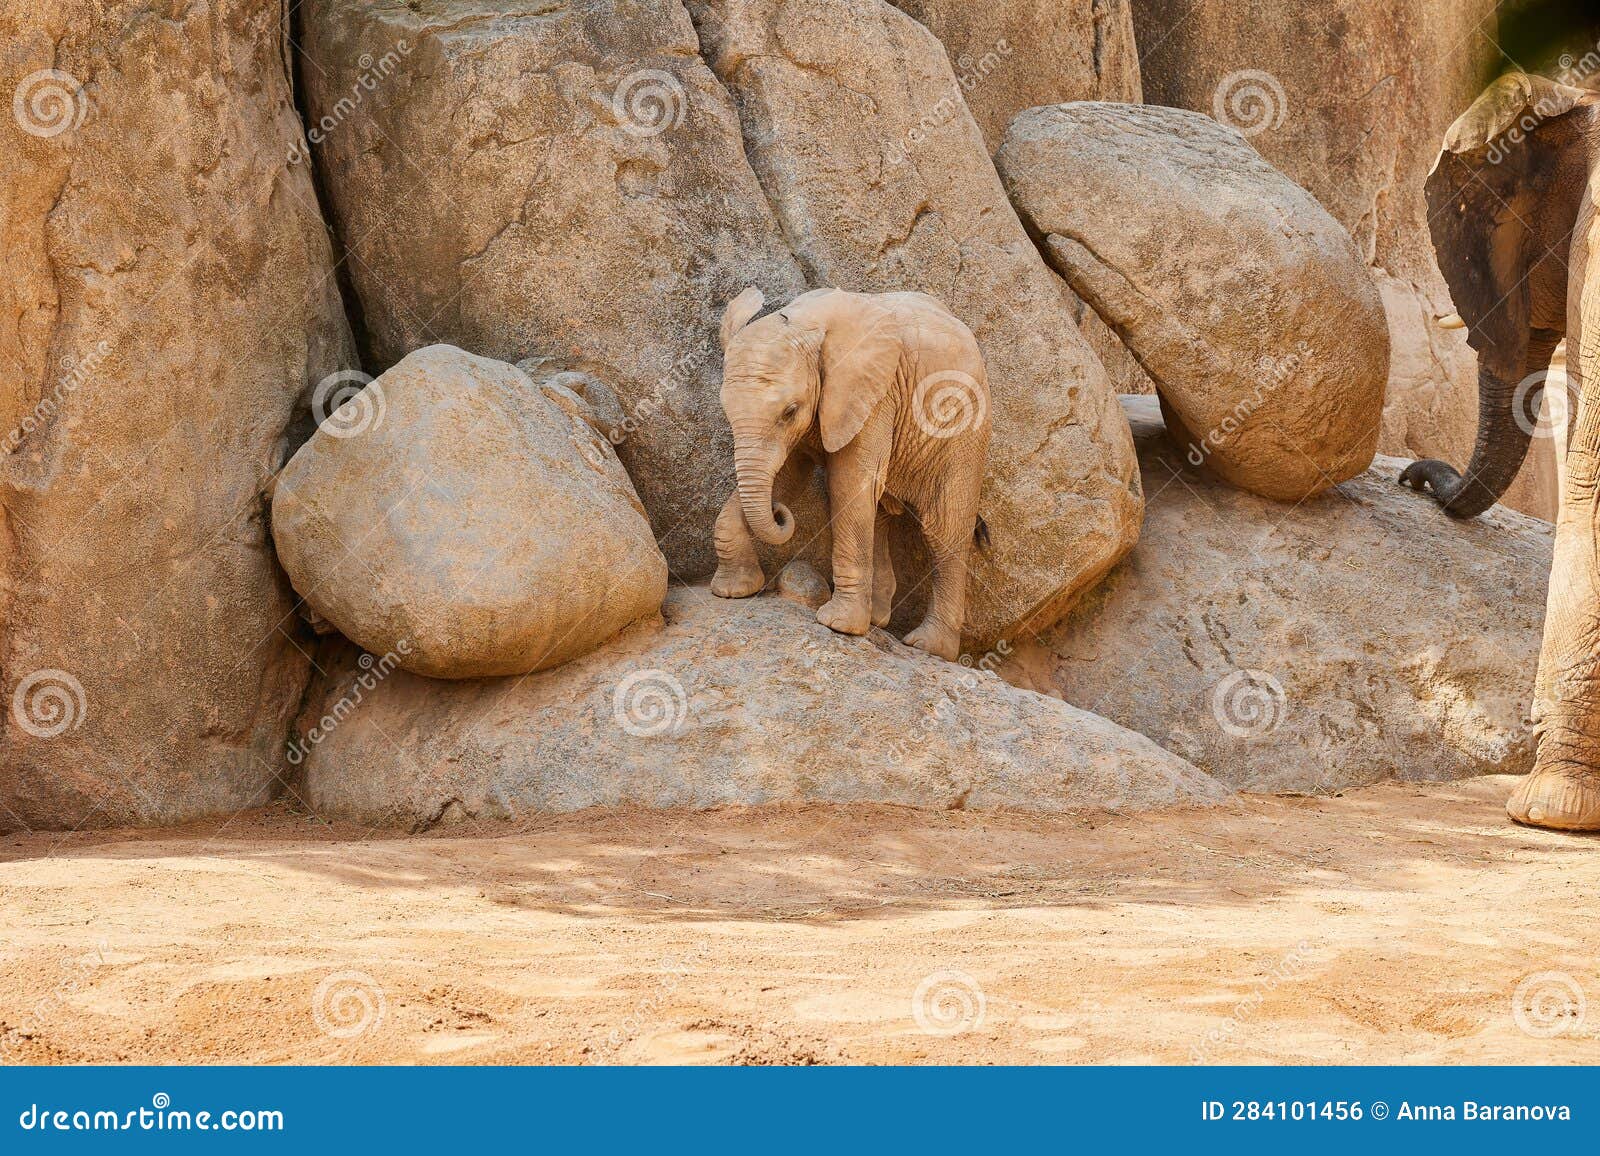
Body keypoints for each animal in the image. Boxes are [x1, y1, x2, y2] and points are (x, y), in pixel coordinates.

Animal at [710, 286, 992, 662]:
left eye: (789, 411)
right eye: (726, 411)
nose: (778, 513)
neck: (801, 321)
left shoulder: (873, 394)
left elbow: (847, 483)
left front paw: (839, 626)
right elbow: (788, 475)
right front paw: (733, 592)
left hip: (964, 430)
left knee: (942, 528)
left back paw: (927, 646)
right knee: (882, 510)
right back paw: (877, 620)